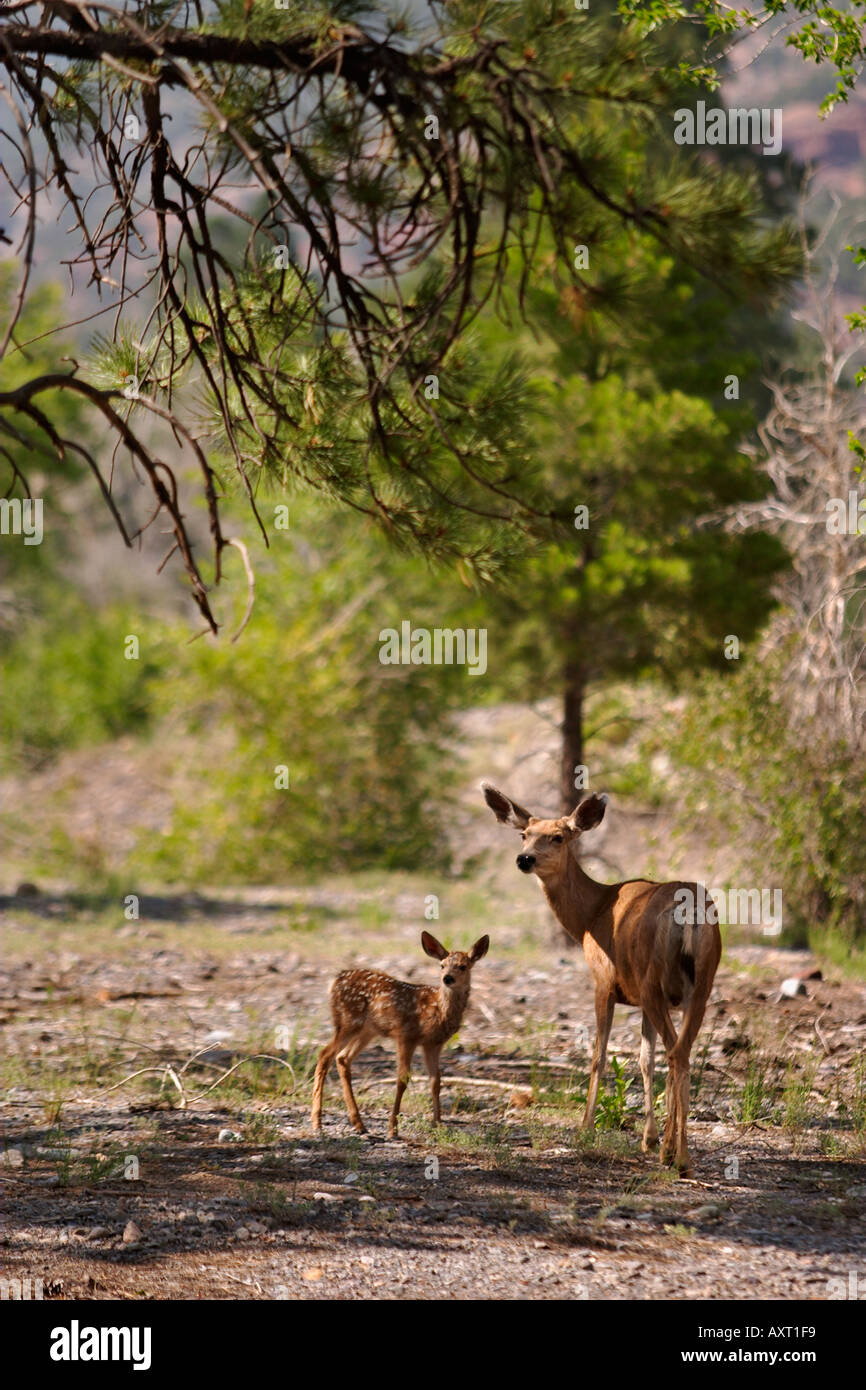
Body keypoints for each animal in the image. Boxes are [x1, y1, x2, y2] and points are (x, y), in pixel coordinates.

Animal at [311, 932, 490, 1139]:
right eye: (442, 965)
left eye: (463, 966)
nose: (447, 978)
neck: (439, 1009)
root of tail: (335, 981)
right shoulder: (406, 1035)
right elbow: (402, 1079)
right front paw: (392, 1129)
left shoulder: (433, 1044)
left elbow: (436, 1080)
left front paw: (438, 1124)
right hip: (348, 1021)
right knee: (324, 1054)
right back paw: (317, 1122)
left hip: (367, 1031)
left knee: (342, 1058)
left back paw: (359, 1124)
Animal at [482, 784, 720, 1177]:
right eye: (524, 834)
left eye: (558, 837)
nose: (524, 859)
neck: (590, 915)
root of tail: (689, 911)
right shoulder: (640, 998)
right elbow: (644, 1059)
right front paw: (648, 1137)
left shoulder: (604, 980)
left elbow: (598, 1055)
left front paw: (585, 1128)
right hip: (700, 984)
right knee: (680, 1051)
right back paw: (678, 1154)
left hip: (654, 980)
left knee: (676, 1052)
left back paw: (675, 1154)